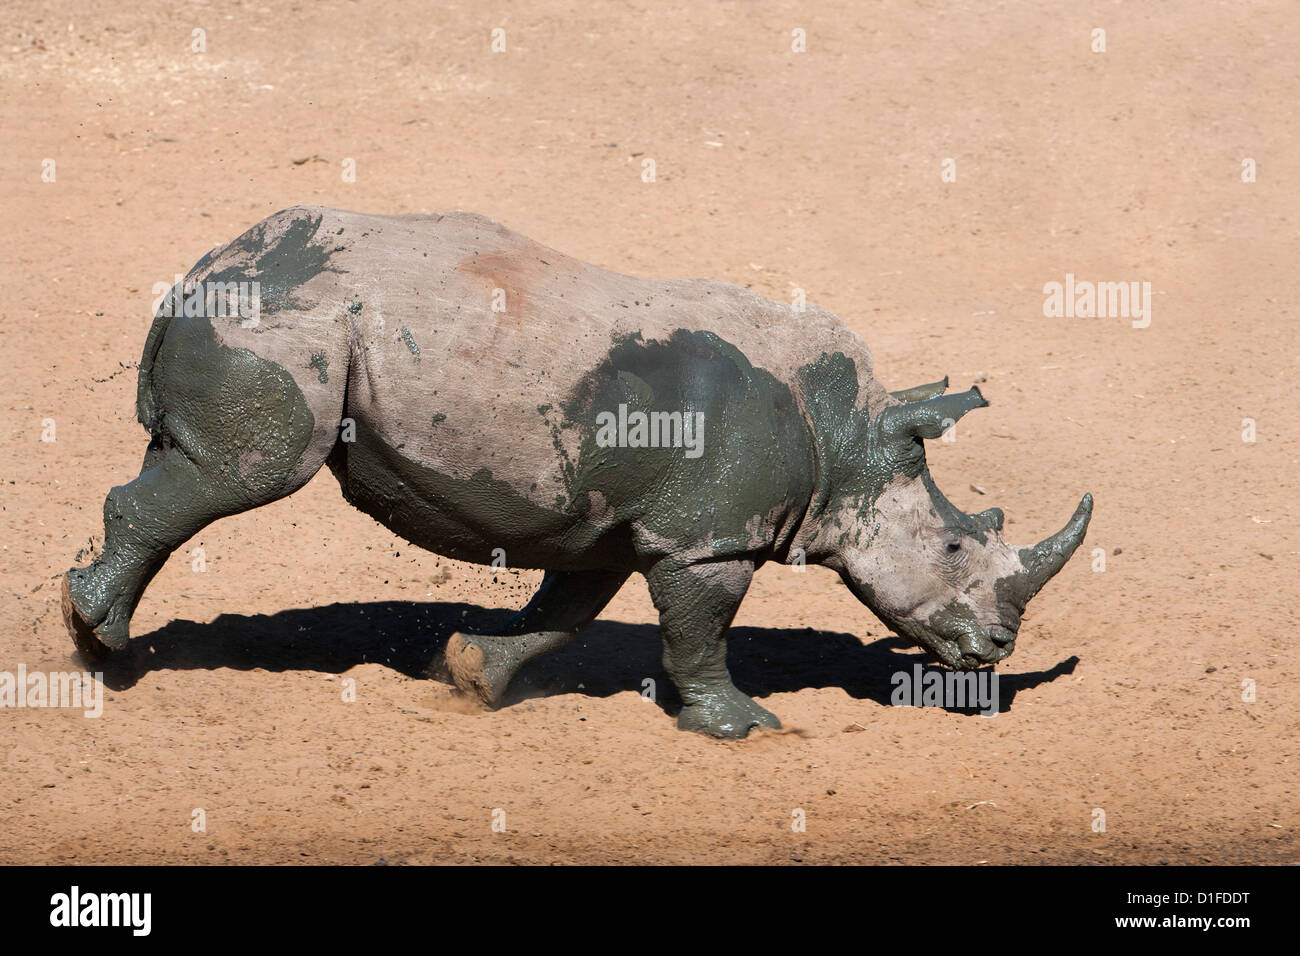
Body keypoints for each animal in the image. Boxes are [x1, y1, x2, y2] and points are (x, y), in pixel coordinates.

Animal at [63, 206, 1092, 737]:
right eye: (957, 547)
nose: (998, 649)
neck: (848, 437)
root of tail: (201, 267)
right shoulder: (709, 537)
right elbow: (700, 633)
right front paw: (742, 728)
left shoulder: (609, 521)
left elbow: (563, 613)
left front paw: (473, 676)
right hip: (284, 323)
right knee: (242, 477)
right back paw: (100, 645)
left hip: (271, 313)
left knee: (187, 465)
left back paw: (96, 634)